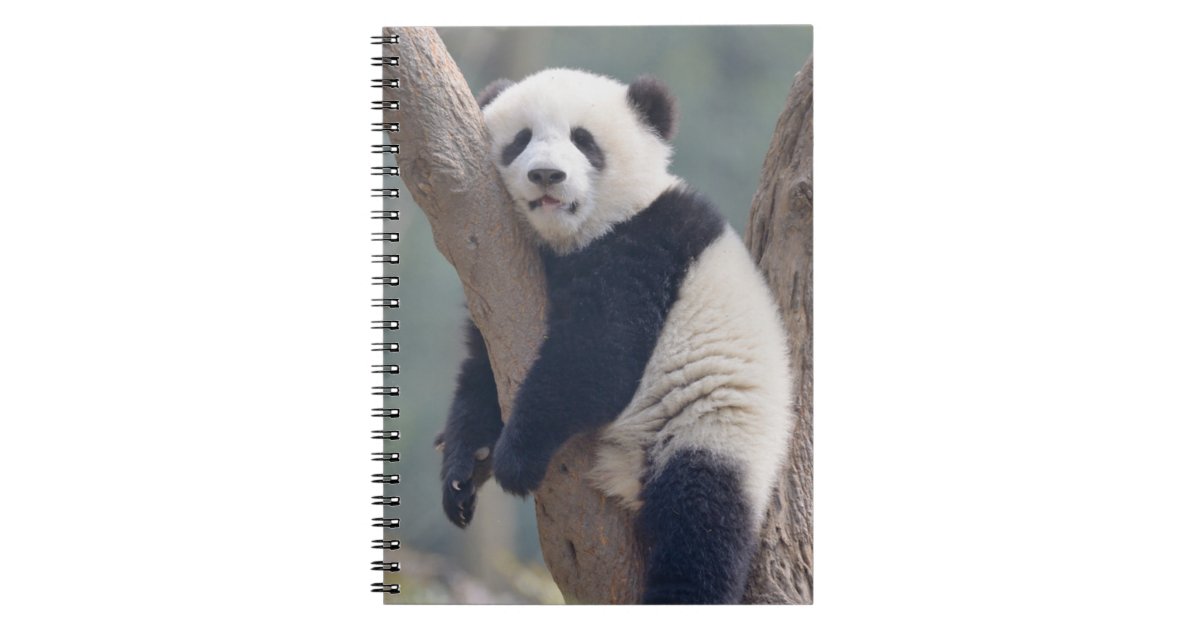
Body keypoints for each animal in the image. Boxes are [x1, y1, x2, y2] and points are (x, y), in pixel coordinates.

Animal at [434, 68, 794, 604]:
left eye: (584, 141)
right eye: (521, 140)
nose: (547, 175)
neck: (574, 237)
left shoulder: (647, 247)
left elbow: (599, 358)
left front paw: (515, 457)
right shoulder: (496, 281)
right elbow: (483, 368)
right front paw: (463, 469)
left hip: (714, 428)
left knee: (701, 524)